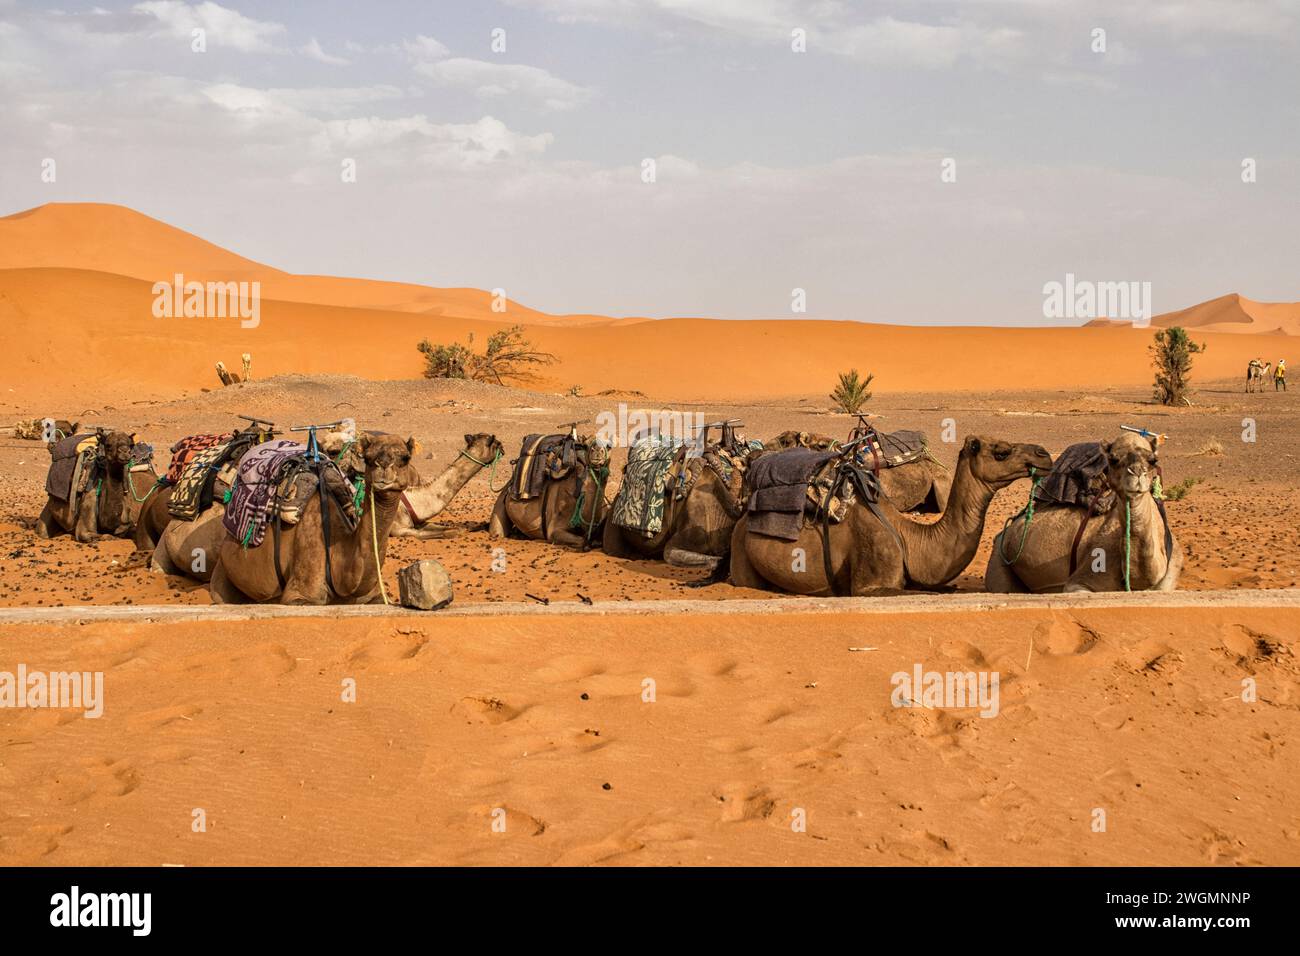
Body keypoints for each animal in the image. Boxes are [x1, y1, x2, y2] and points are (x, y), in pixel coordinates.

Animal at [209, 433, 415, 604]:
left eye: (405, 458)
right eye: (369, 458)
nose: (383, 468)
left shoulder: (372, 596)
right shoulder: (300, 592)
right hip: (222, 574)